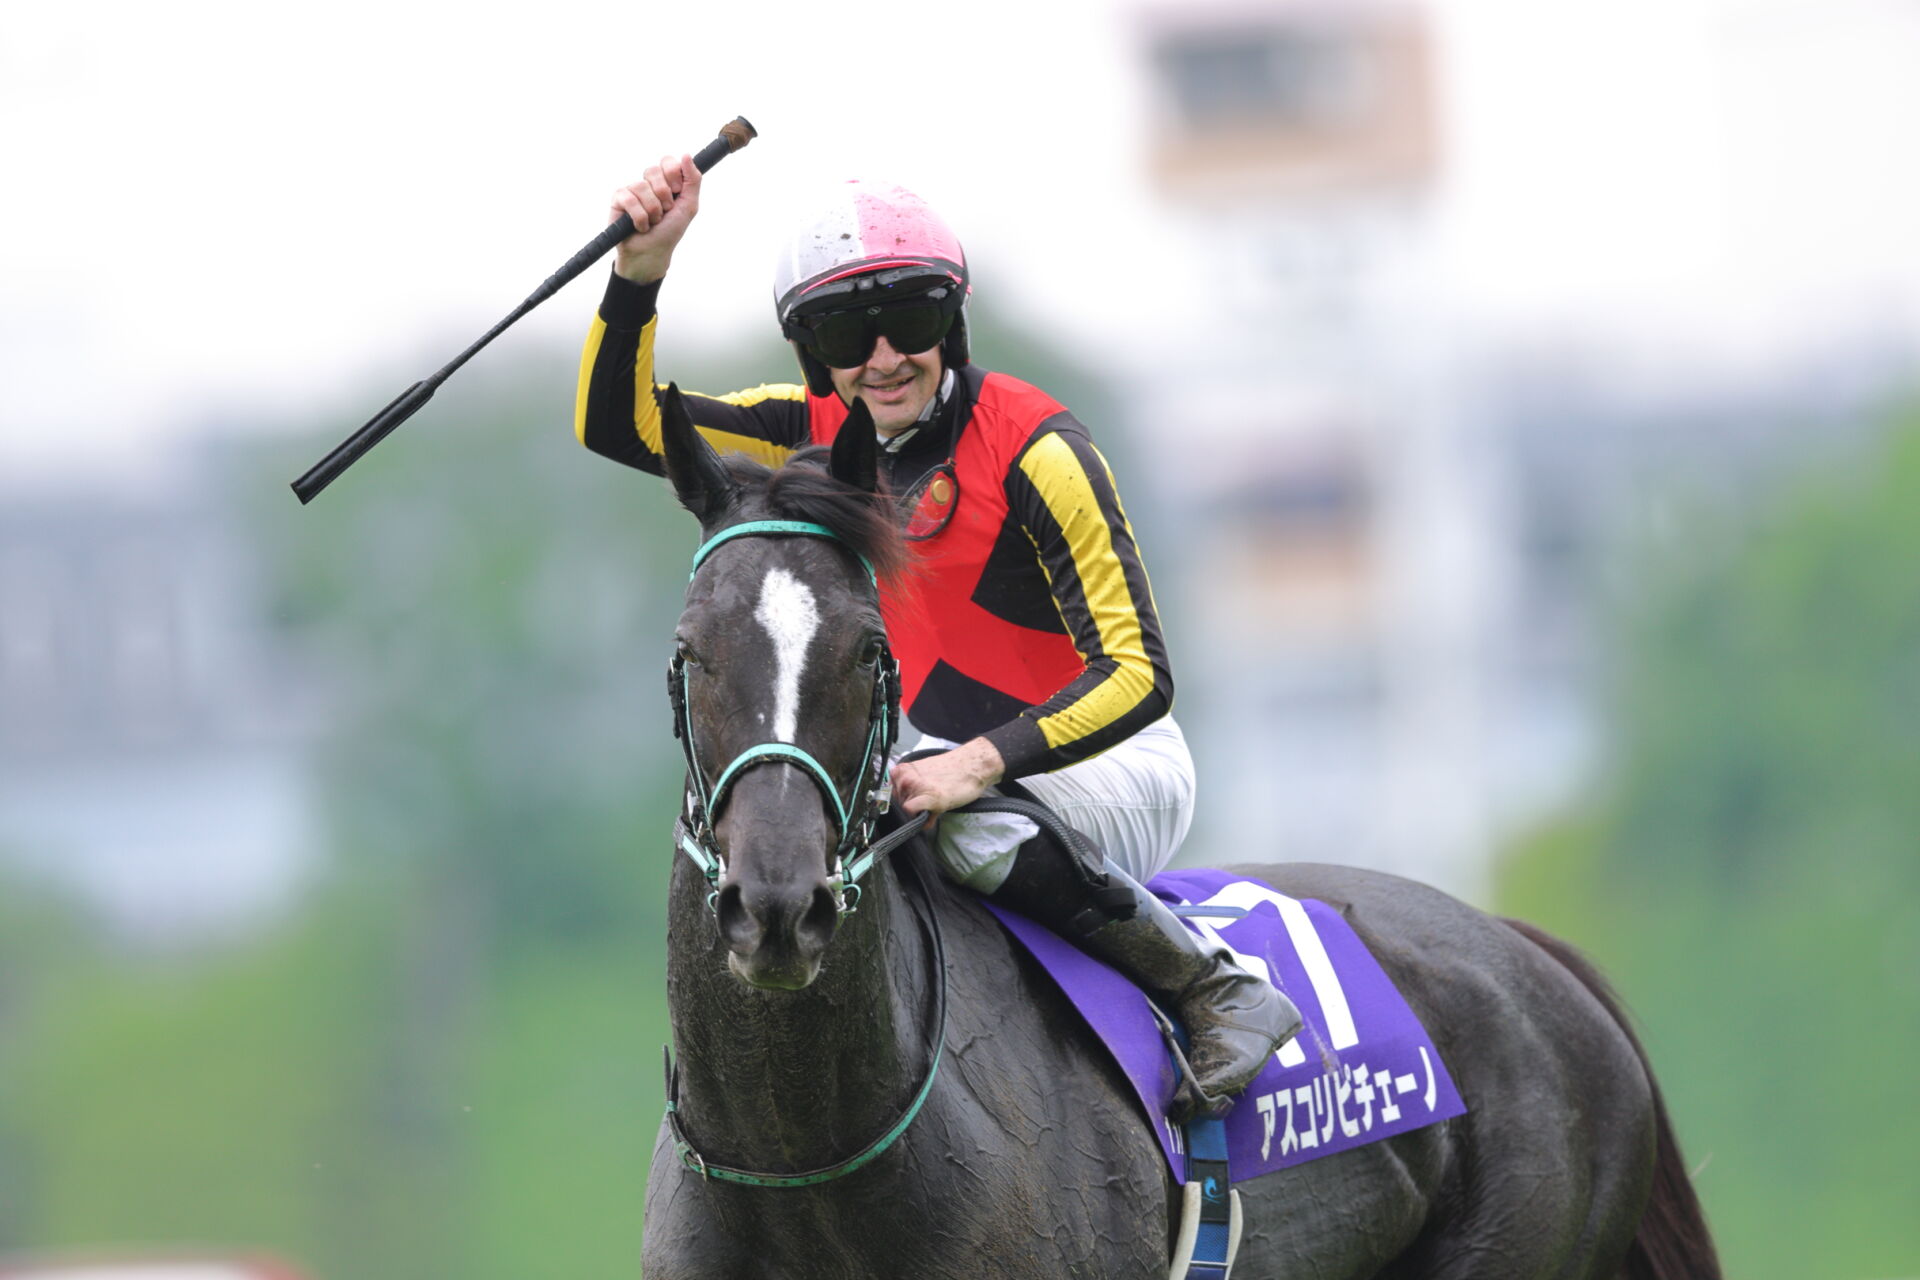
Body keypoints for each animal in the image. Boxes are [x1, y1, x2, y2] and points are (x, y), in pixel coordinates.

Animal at [639, 386, 1722, 1279]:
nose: (779, 906)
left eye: (869, 650)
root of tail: (1530, 953)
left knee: (997, 832)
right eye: (688, 651)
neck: (811, 1161)